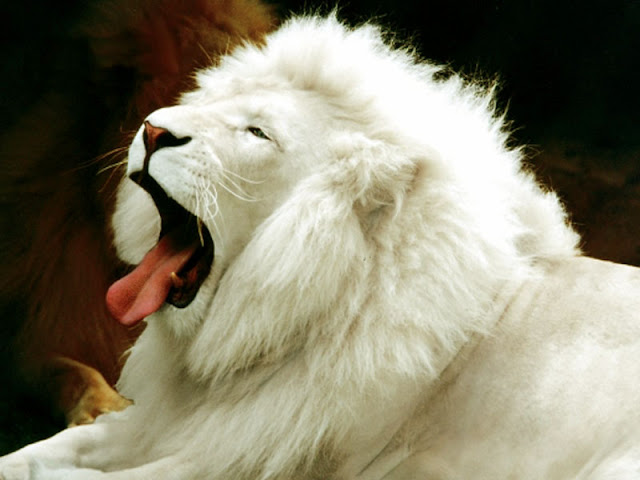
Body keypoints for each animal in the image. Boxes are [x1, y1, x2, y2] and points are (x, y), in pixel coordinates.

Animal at [2, 14, 640, 480]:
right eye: (214, 103)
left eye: (257, 132)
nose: (153, 129)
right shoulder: (169, 425)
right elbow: (42, 452)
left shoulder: (248, 458)